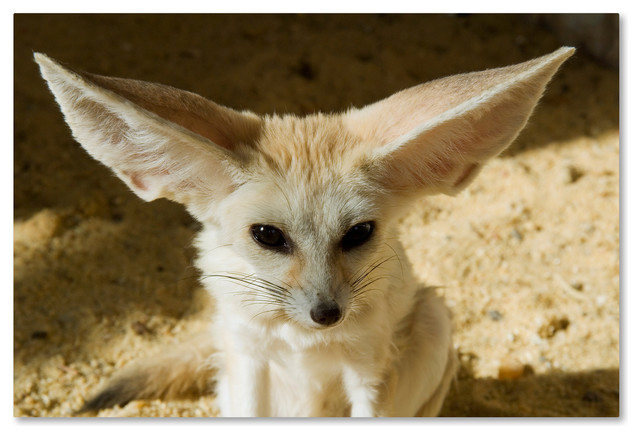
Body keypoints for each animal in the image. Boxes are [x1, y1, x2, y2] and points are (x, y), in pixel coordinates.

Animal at [34, 47, 574, 417]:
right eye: (268, 236)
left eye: (359, 233)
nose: (326, 314)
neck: (301, 339)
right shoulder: (249, 356)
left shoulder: (369, 370)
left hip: (436, 318)